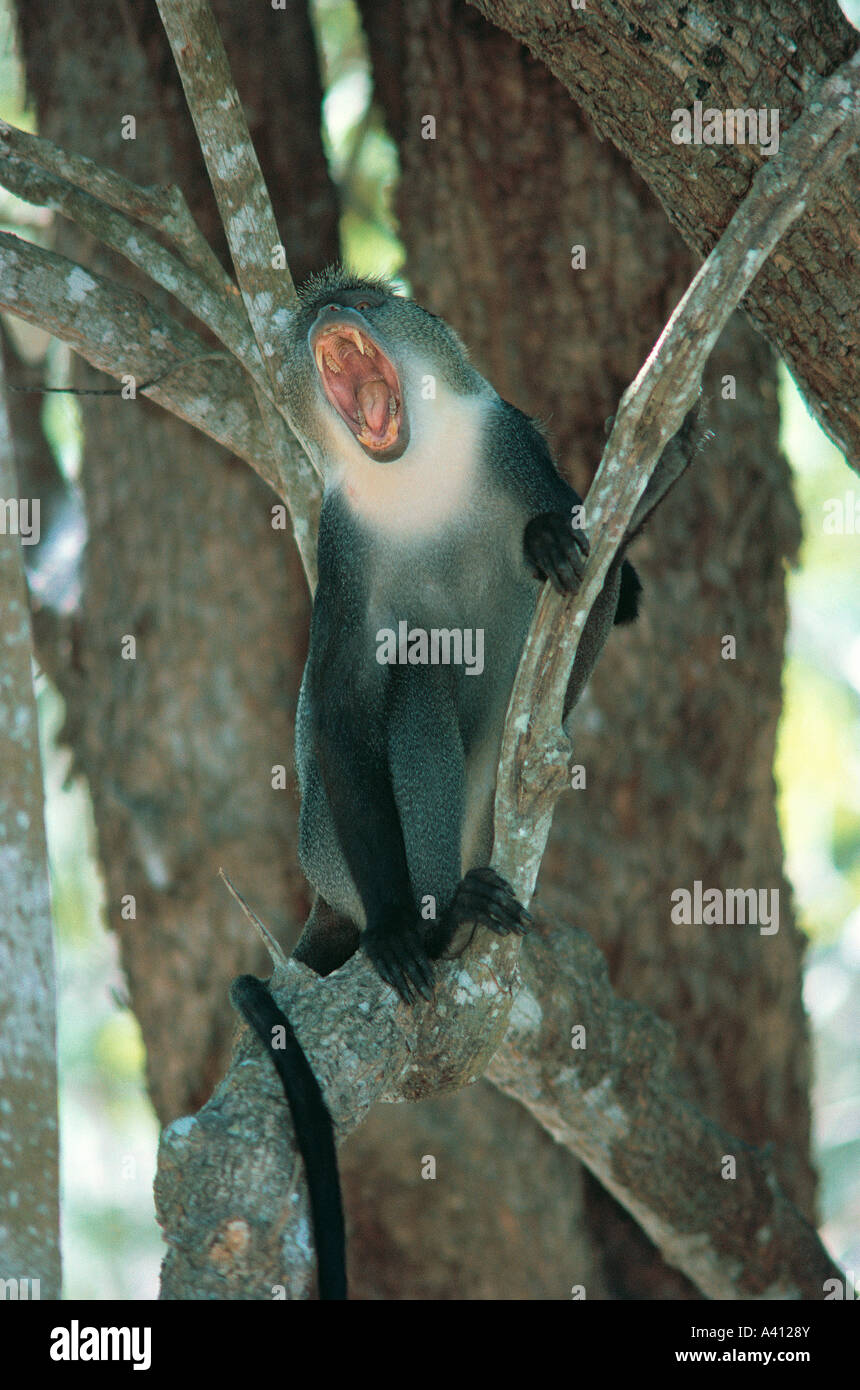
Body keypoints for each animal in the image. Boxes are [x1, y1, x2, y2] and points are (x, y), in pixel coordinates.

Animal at [232, 265, 701, 1298]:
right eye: (319, 317)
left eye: (368, 303)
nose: (334, 319)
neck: (415, 480)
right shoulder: (343, 543)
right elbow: (345, 717)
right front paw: (400, 936)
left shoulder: (513, 440)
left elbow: (612, 586)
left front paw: (578, 525)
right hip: (335, 848)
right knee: (417, 683)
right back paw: (443, 922)